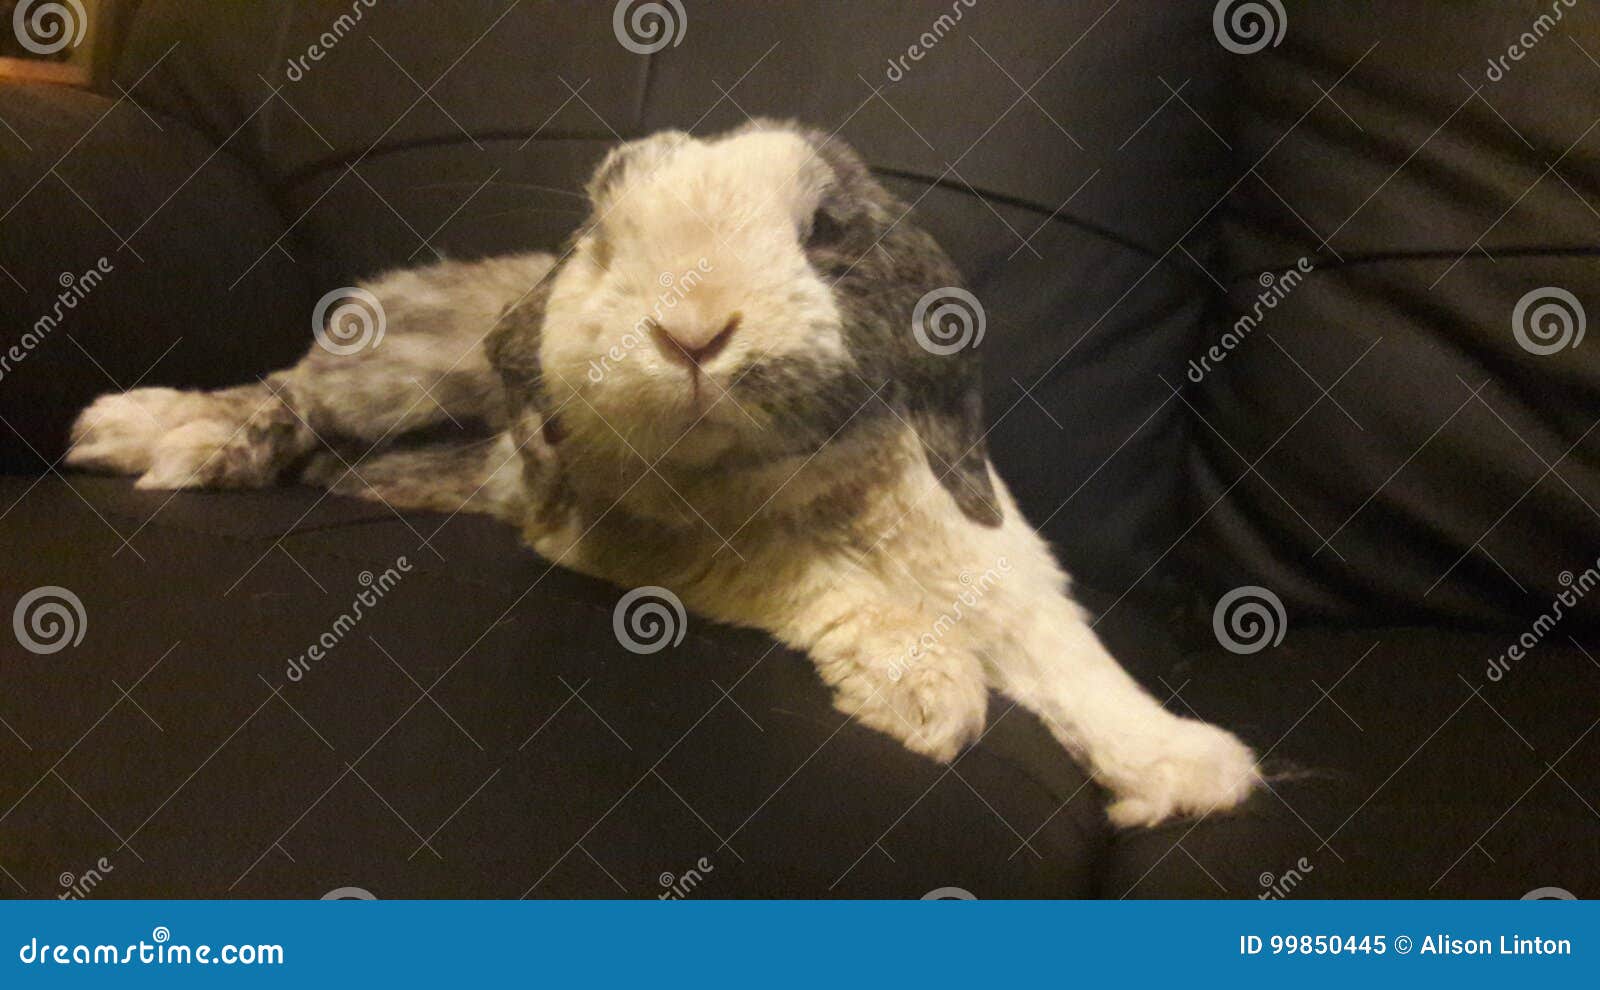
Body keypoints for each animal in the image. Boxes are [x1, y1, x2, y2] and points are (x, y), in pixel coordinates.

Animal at [66, 119, 1259, 827]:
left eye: (825, 232)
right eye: (605, 233)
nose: (692, 331)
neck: (788, 476)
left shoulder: (971, 540)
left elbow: (1056, 640)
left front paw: (1182, 766)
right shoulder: (644, 540)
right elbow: (820, 582)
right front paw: (930, 692)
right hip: (393, 372)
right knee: (287, 394)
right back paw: (156, 431)